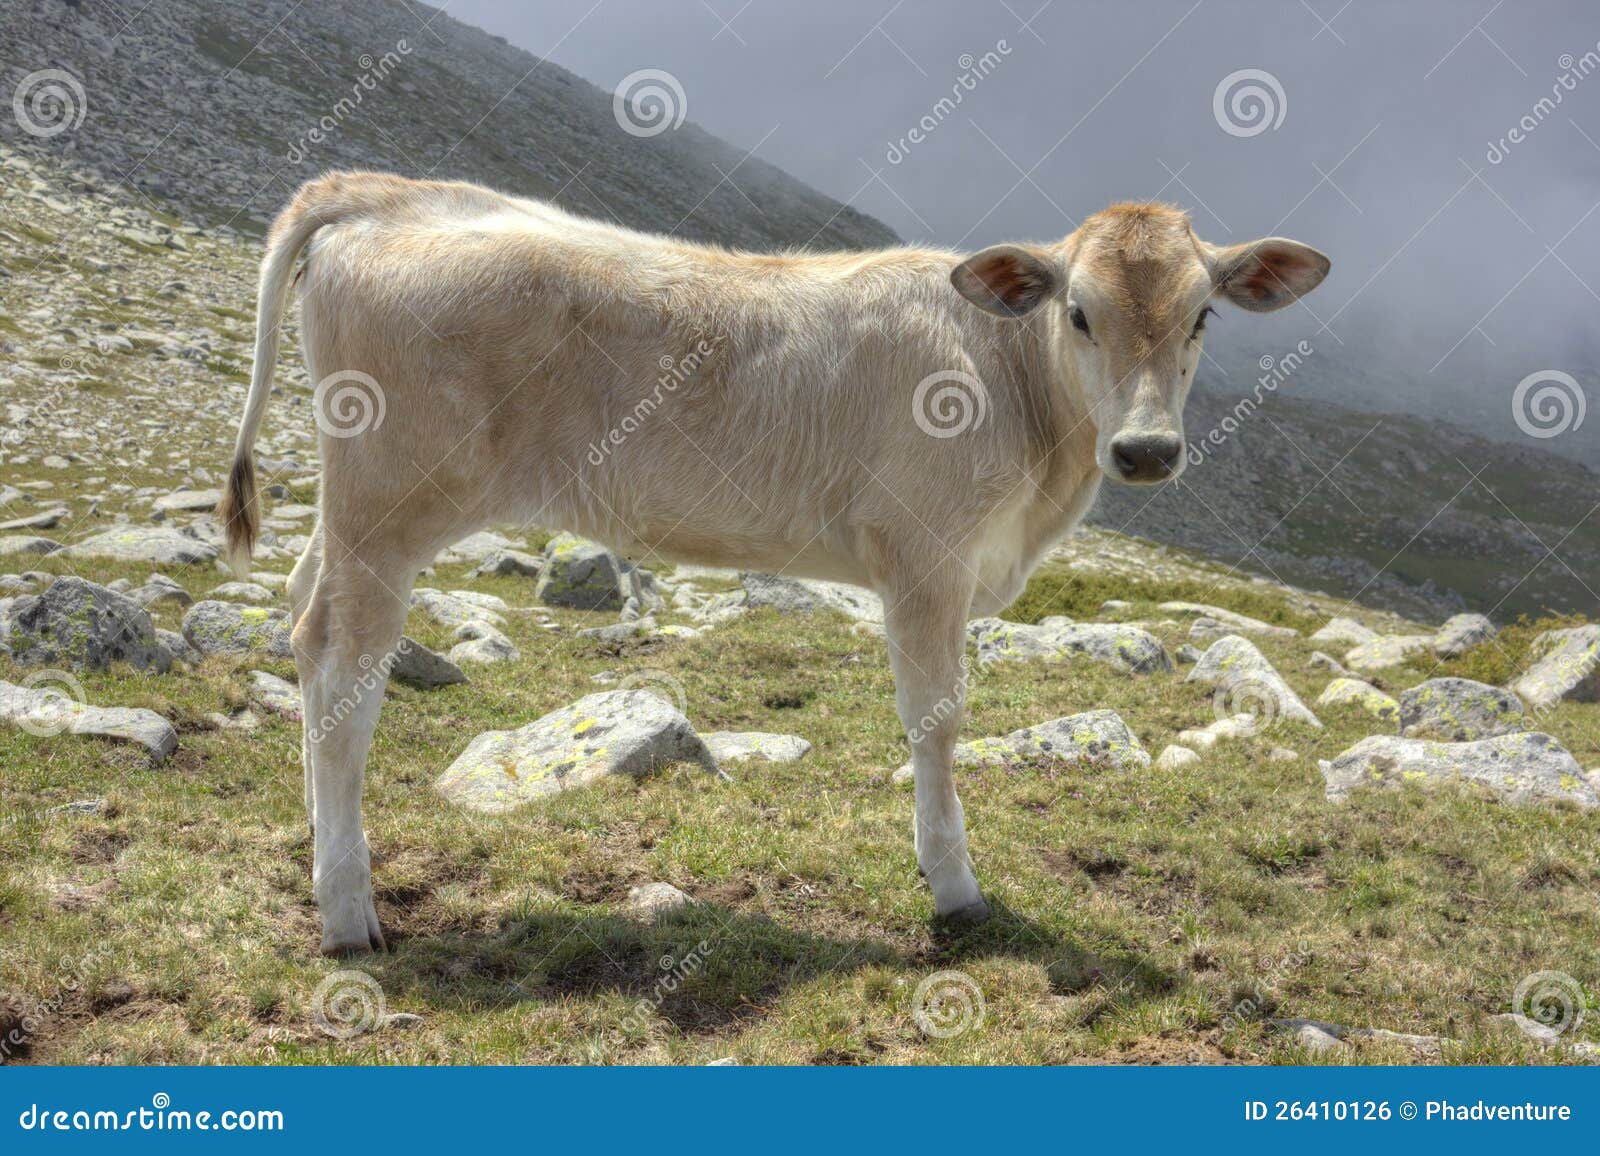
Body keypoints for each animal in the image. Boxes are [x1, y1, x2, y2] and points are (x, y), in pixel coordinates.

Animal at [218, 172, 1329, 954]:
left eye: (1202, 316)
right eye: (1079, 313)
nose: (1145, 449)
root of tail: (384, 192)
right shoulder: (926, 561)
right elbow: (937, 723)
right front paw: (955, 889)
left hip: (351, 514)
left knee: (302, 618)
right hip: (389, 508)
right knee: (344, 672)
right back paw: (347, 909)